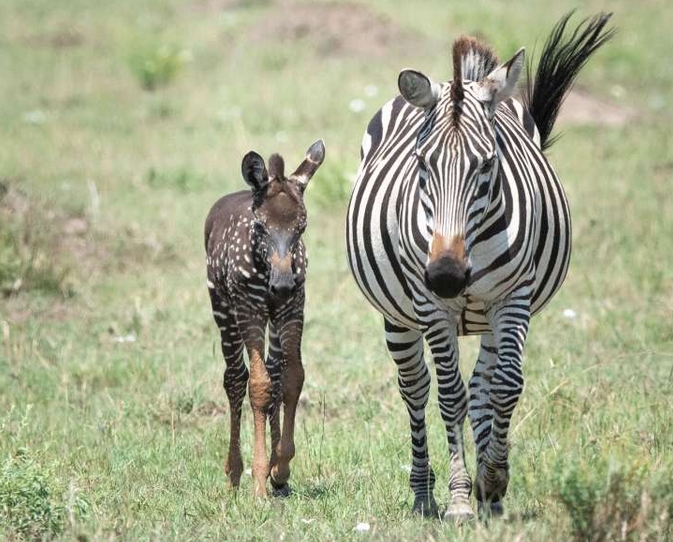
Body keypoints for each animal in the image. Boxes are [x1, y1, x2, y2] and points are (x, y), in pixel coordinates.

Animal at [205, 140, 325, 498]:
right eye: (259, 226)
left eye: (302, 227)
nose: (282, 285)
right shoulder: (251, 310)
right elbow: (258, 385)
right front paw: (259, 480)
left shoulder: (292, 309)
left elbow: (291, 379)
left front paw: (280, 468)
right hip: (223, 311)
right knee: (235, 378)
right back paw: (234, 473)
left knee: (273, 369)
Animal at [346, 13, 614, 520]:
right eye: (421, 164)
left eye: (488, 164)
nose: (447, 277)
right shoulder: (431, 306)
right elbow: (450, 395)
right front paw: (458, 498)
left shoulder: (513, 298)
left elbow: (506, 386)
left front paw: (492, 482)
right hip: (398, 316)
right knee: (416, 388)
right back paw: (423, 494)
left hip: (489, 315)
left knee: (485, 384)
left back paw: (489, 494)